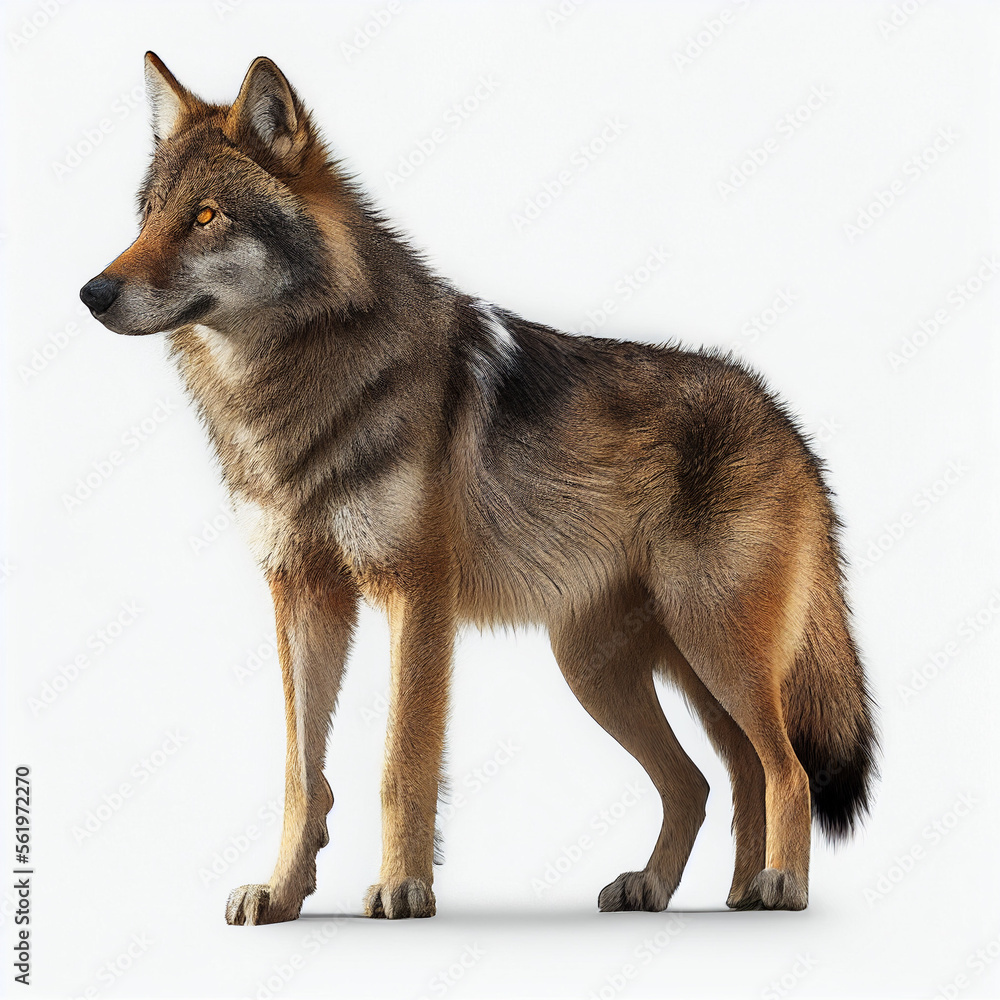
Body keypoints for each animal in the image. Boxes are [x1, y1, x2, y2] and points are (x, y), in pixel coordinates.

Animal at [80, 53, 877, 924]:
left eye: (206, 217)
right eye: (147, 216)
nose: (92, 292)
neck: (290, 396)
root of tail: (783, 416)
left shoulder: (417, 594)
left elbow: (401, 763)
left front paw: (402, 889)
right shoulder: (303, 595)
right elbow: (300, 775)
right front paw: (282, 893)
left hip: (712, 646)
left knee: (784, 769)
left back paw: (779, 887)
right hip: (615, 670)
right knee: (713, 778)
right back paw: (684, 890)